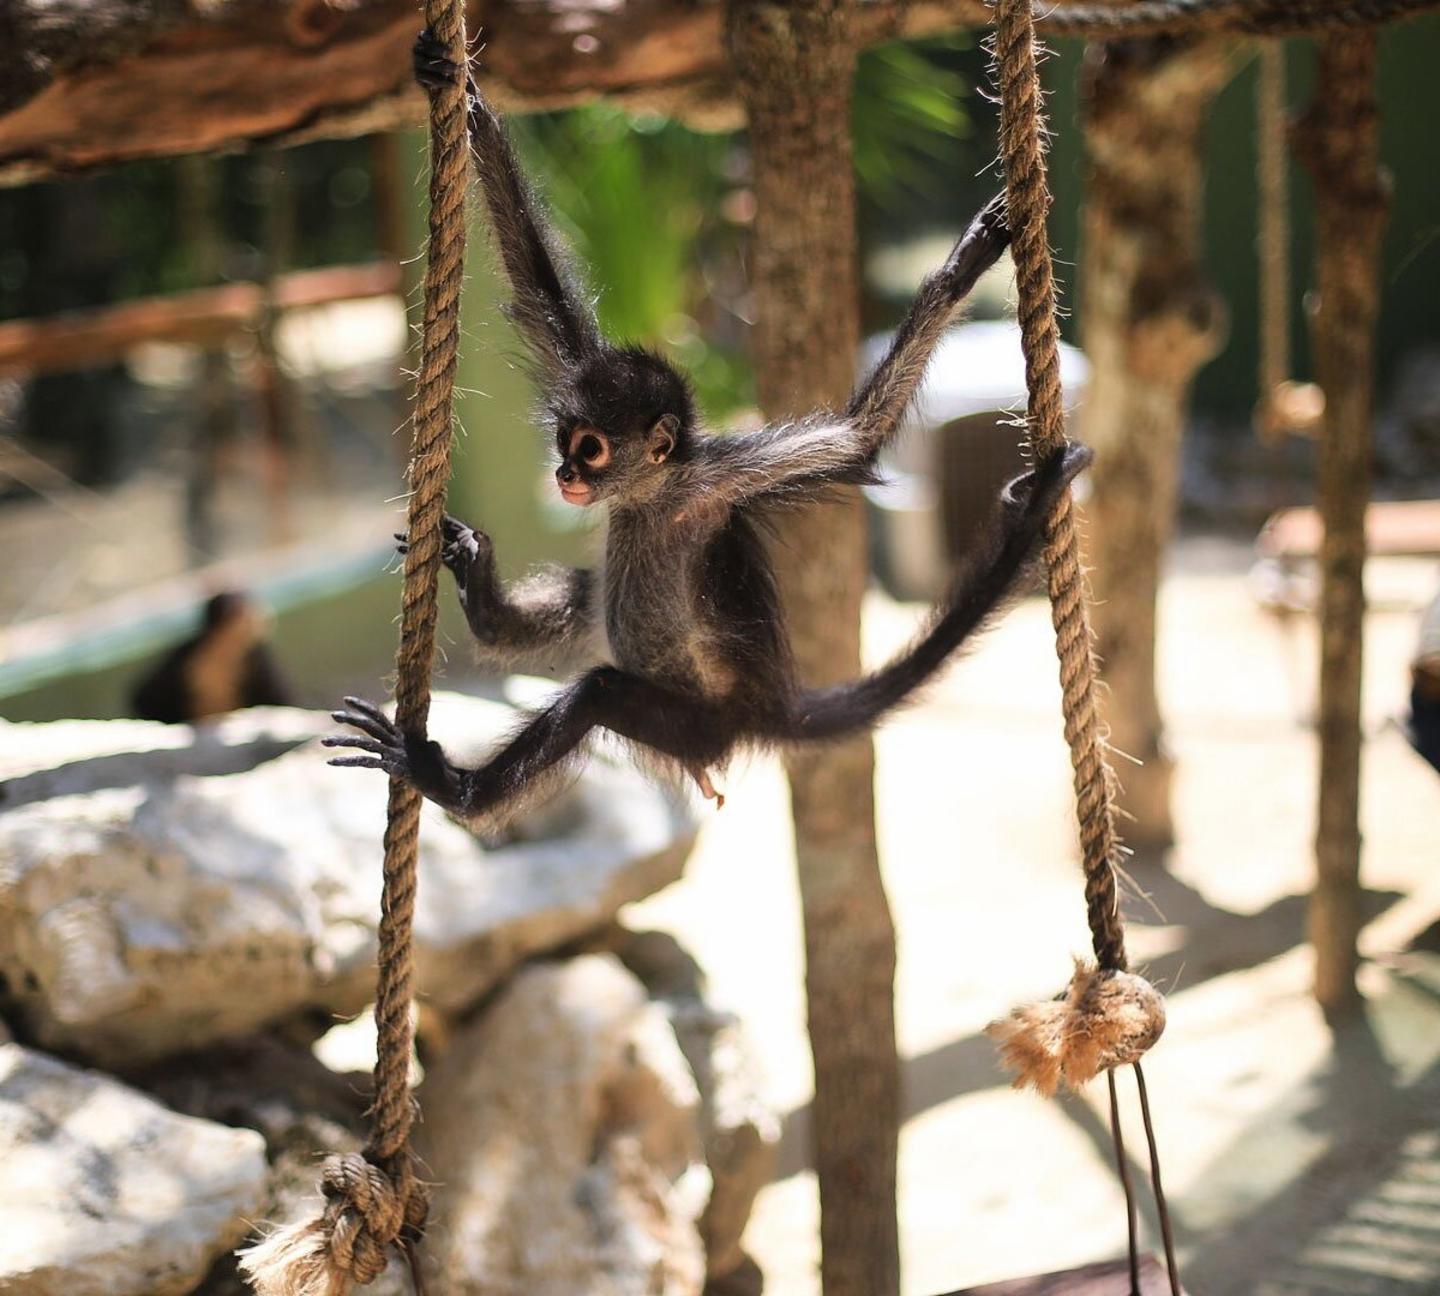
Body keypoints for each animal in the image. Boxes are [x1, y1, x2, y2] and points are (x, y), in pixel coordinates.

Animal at [322, 30, 1091, 828]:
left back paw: (452, 786)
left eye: (591, 449)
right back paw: (480, 599)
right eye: (567, 442)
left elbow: (858, 437)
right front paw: (459, 90)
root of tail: (761, 712)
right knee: (583, 591)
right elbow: (535, 290)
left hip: (696, 726)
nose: (565, 474)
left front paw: (961, 270)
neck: (653, 497)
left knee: (597, 691)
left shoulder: (718, 479)